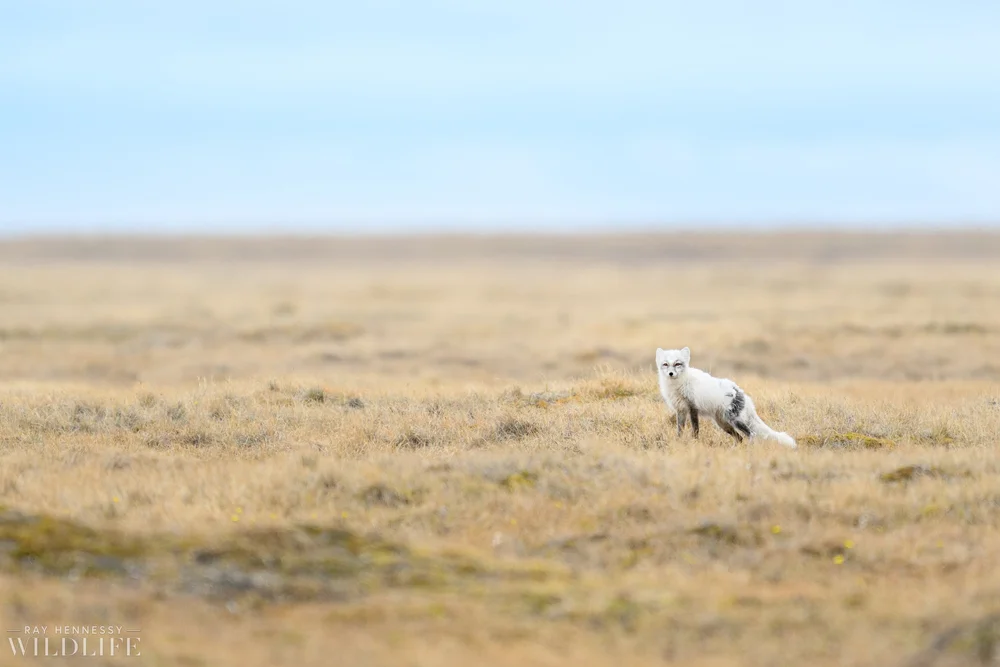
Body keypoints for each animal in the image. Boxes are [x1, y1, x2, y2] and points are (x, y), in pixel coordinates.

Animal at [656, 346, 797, 449]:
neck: (678, 385)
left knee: (751, 434)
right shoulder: (681, 410)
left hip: (734, 420)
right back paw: (734, 450)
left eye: (678, 364)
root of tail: (742, 393)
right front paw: (678, 442)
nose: (671, 373)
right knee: (740, 438)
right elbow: (679, 430)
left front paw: (695, 443)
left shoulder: (693, 408)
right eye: (665, 364)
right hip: (723, 423)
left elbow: (695, 430)